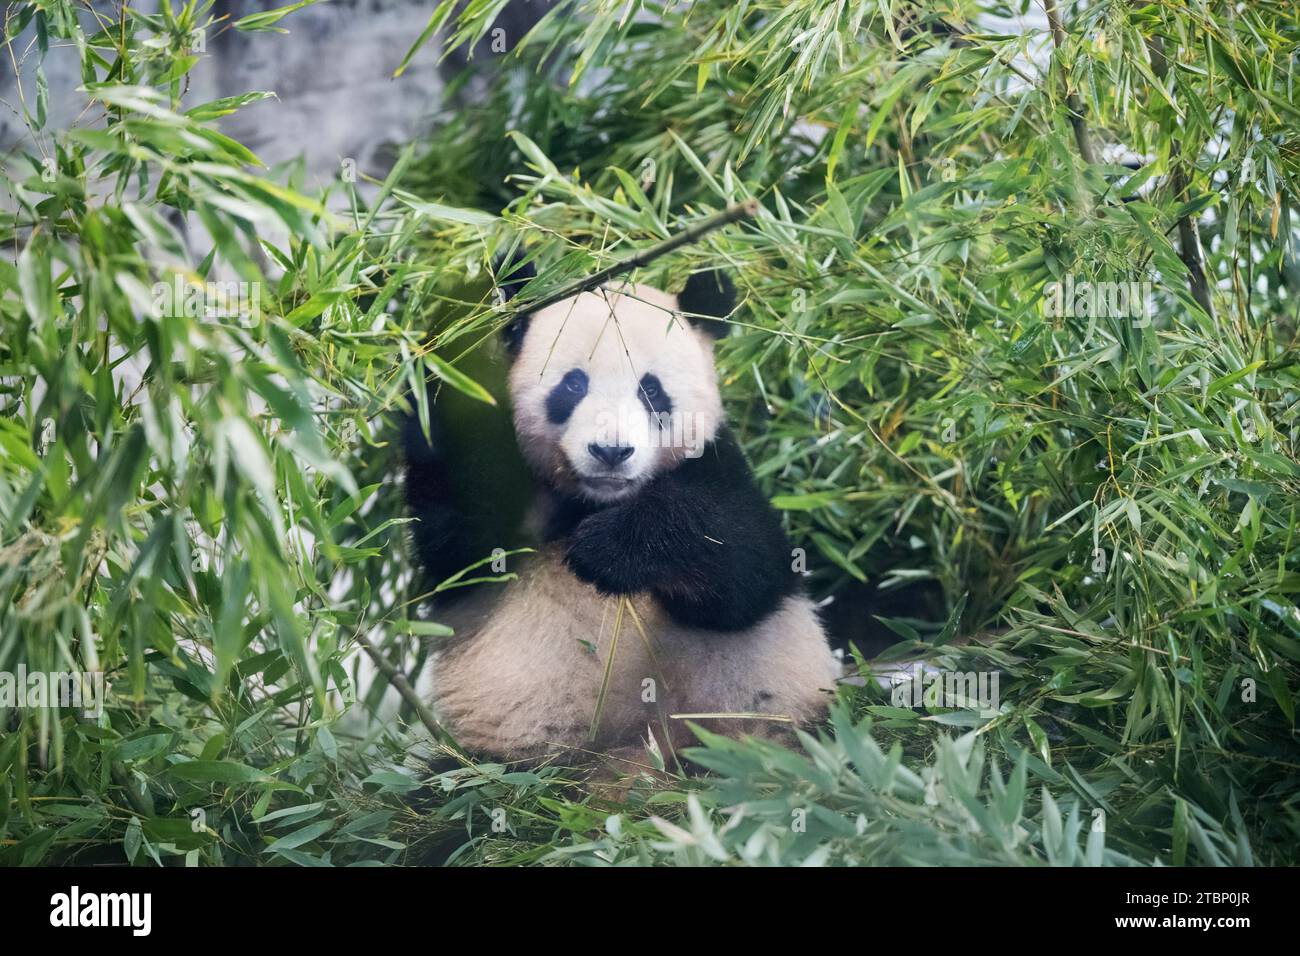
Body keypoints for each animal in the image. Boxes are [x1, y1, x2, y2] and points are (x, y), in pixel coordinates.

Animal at [401, 263, 842, 768]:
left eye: (651, 390)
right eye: (573, 385)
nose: (610, 452)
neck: (593, 501)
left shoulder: (718, 466)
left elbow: (745, 568)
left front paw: (608, 550)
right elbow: (460, 538)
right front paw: (466, 318)